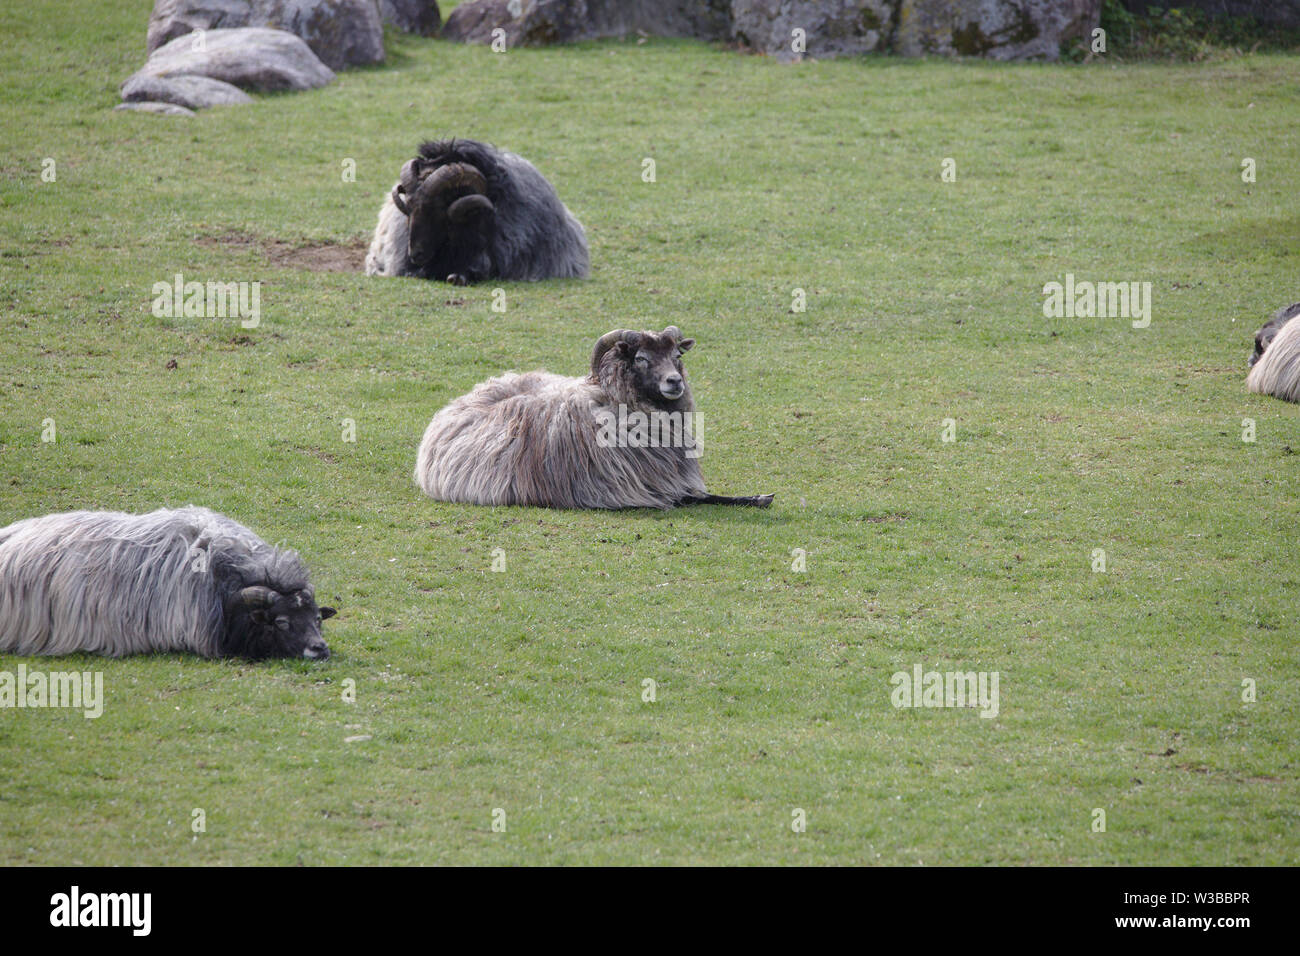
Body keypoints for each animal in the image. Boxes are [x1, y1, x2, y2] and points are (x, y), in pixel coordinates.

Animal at [414, 326, 774, 510]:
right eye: (641, 358)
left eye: (676, 355)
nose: (675, 381)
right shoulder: (632, 490)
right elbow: (690, 498)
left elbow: (706, 494)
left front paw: (758, 497)